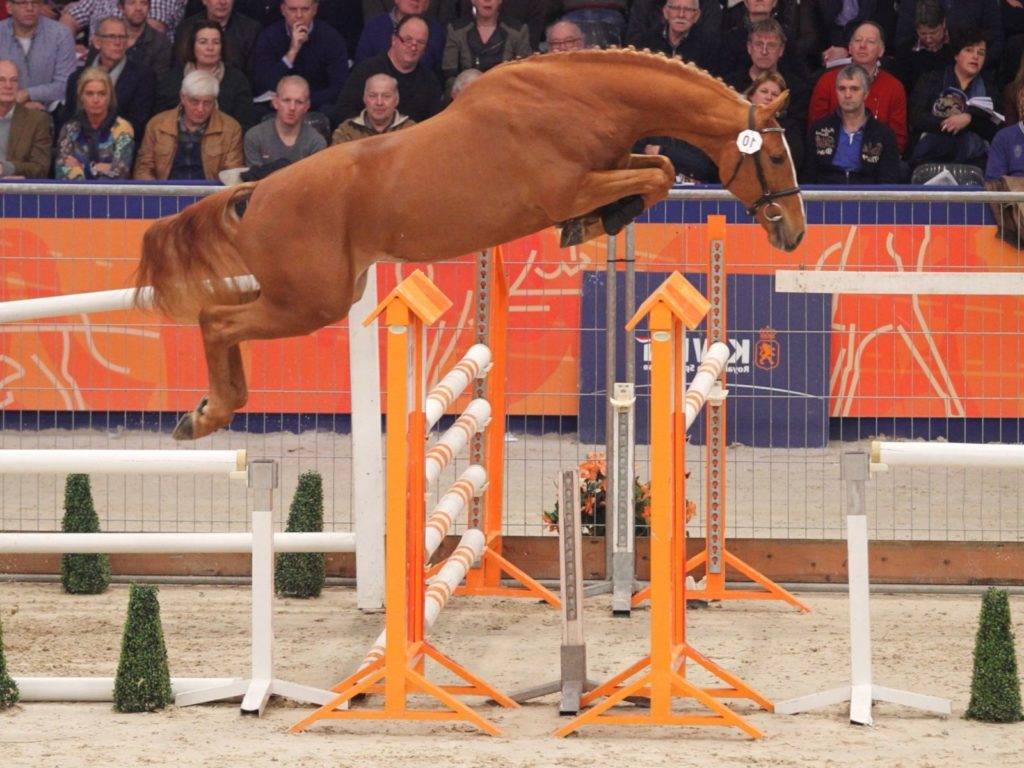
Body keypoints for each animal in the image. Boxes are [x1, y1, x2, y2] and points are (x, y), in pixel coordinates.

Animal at [136, 48, 806, 441]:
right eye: (773, 156)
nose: (794, 232)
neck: (582, 97)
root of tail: (256, 193)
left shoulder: (613, 163)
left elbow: (659, 167)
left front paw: (603, 221)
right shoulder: (569, 187)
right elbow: (655, 176)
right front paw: (593, 223)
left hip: (308, 295)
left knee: (221, 318)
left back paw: (207, 412)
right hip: (307, 303)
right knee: (217, 321)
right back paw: (208, 415)